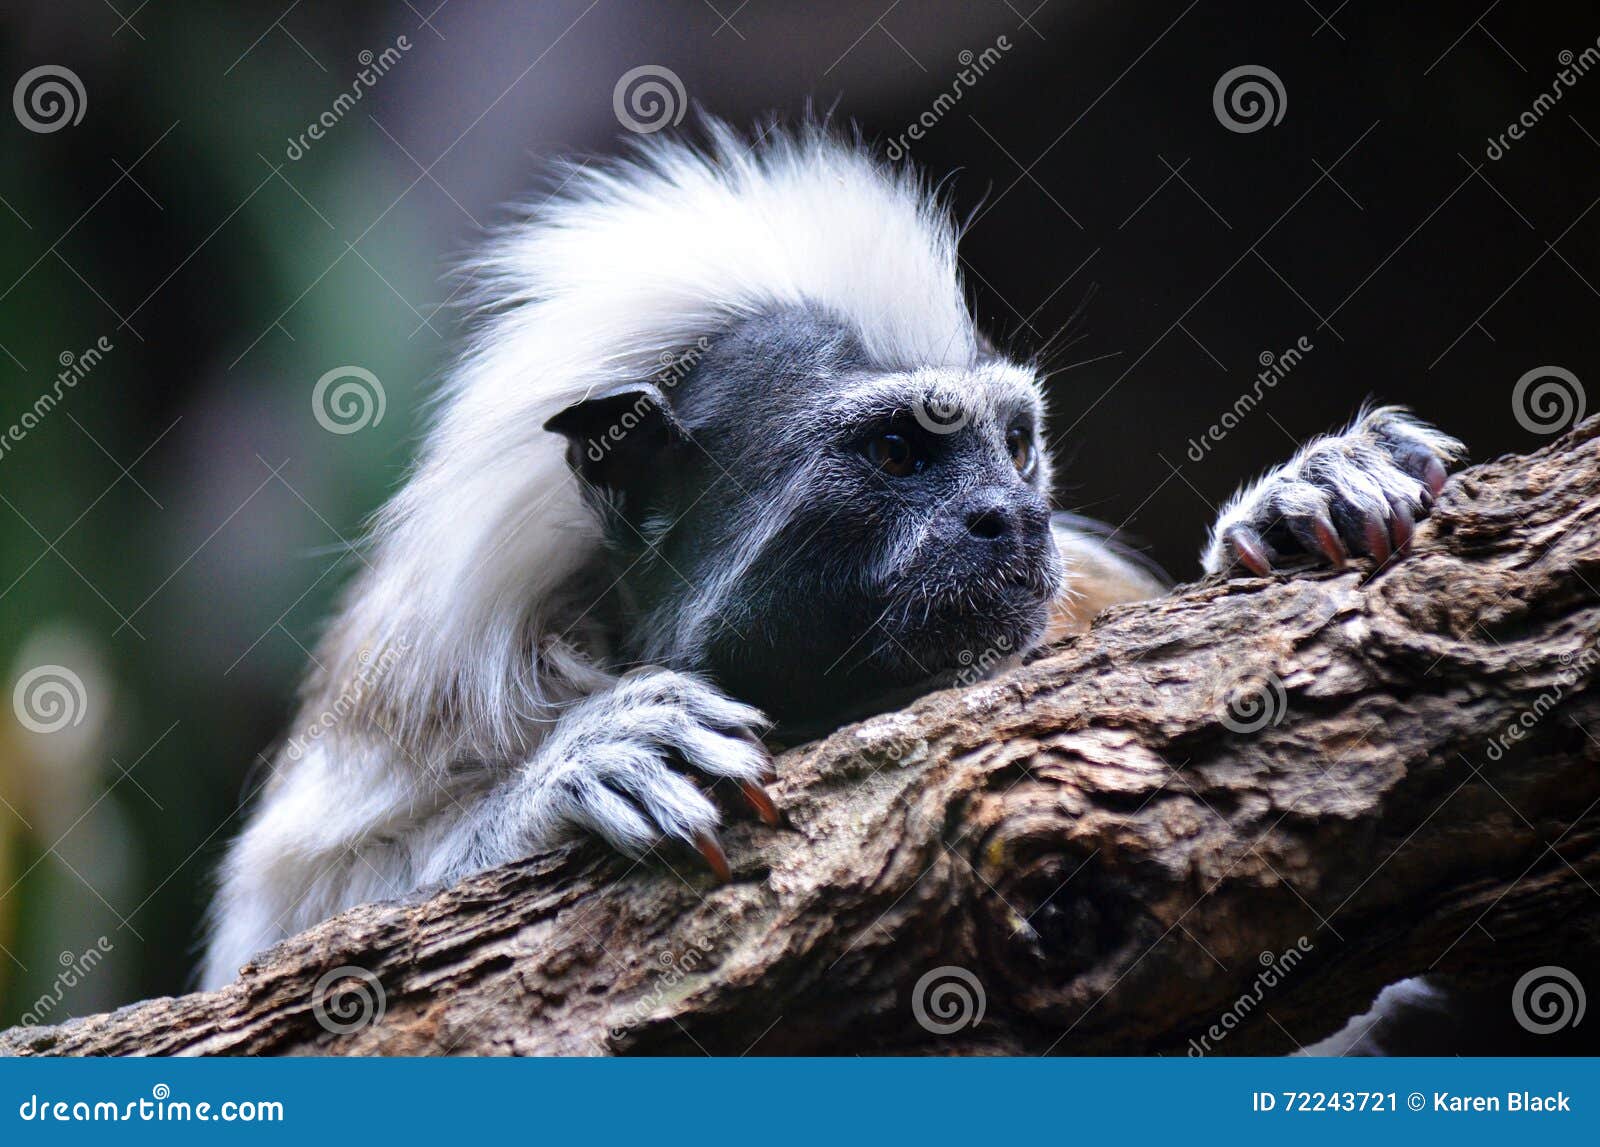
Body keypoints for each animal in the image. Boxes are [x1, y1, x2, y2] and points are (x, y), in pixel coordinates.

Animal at [200, 120, 1463, 996]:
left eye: (1012, 446)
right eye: (900, 451)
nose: (1011, 518)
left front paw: (1299, 502)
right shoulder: (425, 690)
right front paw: (578, 770)